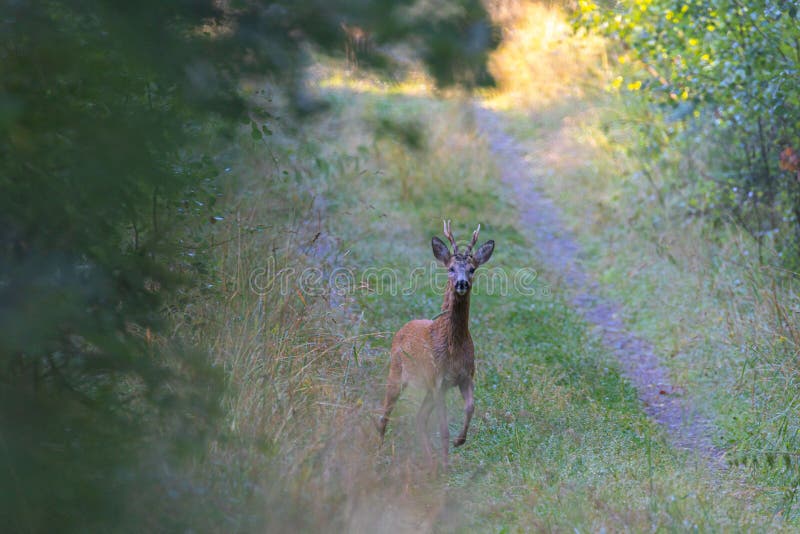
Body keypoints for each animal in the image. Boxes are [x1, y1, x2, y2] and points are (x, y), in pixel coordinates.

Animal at [377, 220, 494, 469]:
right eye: (450, 268)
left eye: (472, 269)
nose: (462, 283)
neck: (454, 346)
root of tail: (401, 329)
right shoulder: (438, 381)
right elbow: (443, 427)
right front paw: (446, 464)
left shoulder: (464, 377)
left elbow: (471, 407)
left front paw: (460, 441)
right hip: (396, 372)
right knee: (384, 413)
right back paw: (378, 451)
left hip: (427, 388)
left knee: (419, 417)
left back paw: (429, 457)